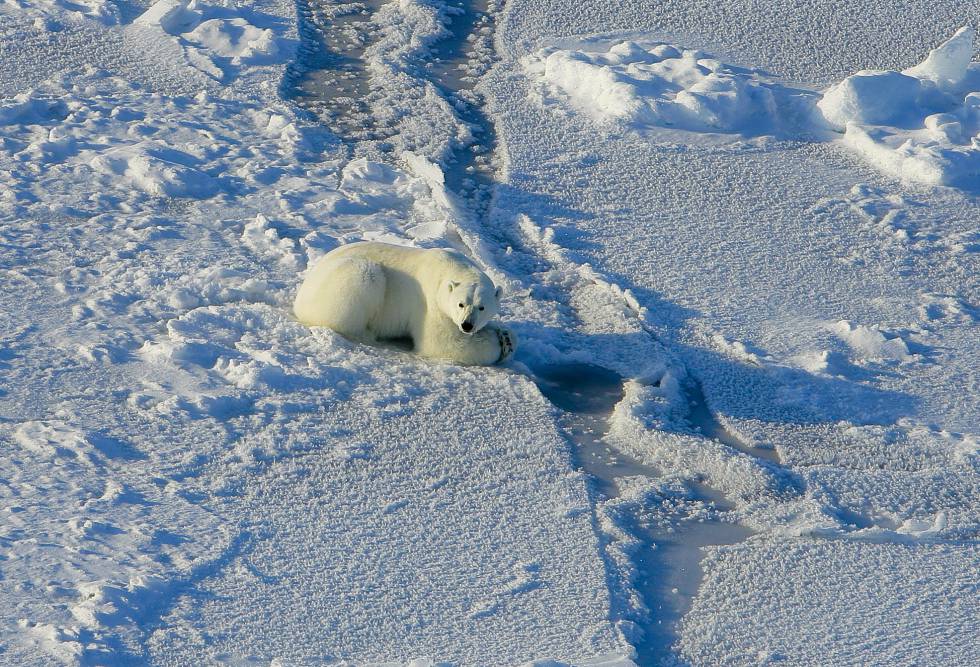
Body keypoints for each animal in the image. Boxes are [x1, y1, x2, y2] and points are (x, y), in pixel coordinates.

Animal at [293, 241, 516, 365]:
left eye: (482, 307)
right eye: (461, 304)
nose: (467, 325)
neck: (450, 267)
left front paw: (506, 337)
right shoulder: (431, 304)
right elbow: (441, 342)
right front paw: (498, 344)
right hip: (344, 281)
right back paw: (369, 334)